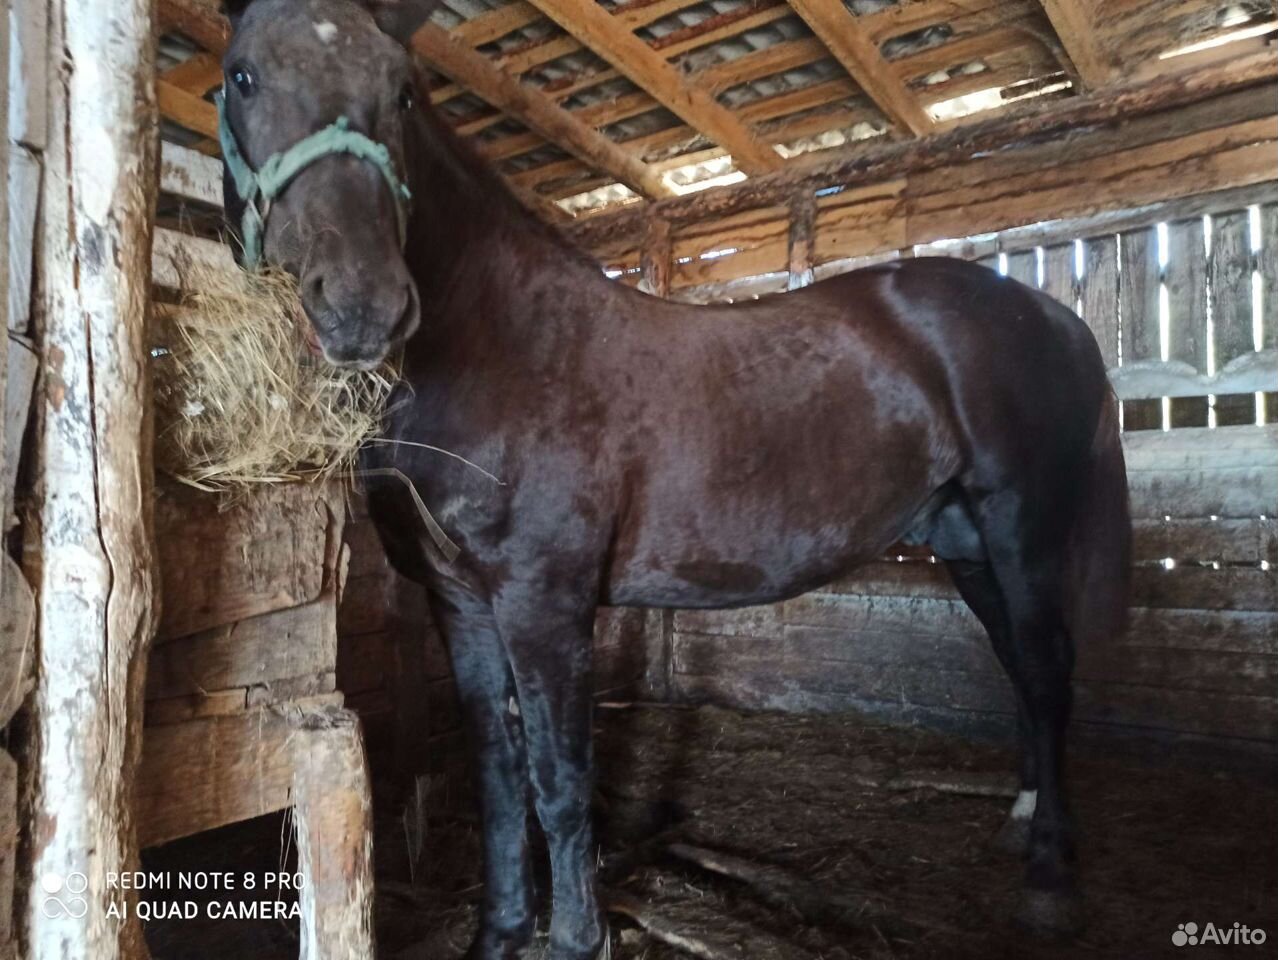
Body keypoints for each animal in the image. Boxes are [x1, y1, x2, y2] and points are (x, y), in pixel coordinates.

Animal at [217, 2, 1131, 956]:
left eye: (402, 90)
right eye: (242, 75)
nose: (362, 304)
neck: (499, 345)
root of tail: (1056, 317)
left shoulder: (545, 601)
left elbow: (559, 780)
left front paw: (579, 938)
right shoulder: (459, 602)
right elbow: (497, 775)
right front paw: (499, 931)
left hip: (1023, 531)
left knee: (1047, 670)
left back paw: (1050, 874)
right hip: (968, 546)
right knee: (1020, 667)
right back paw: (1021, 824)